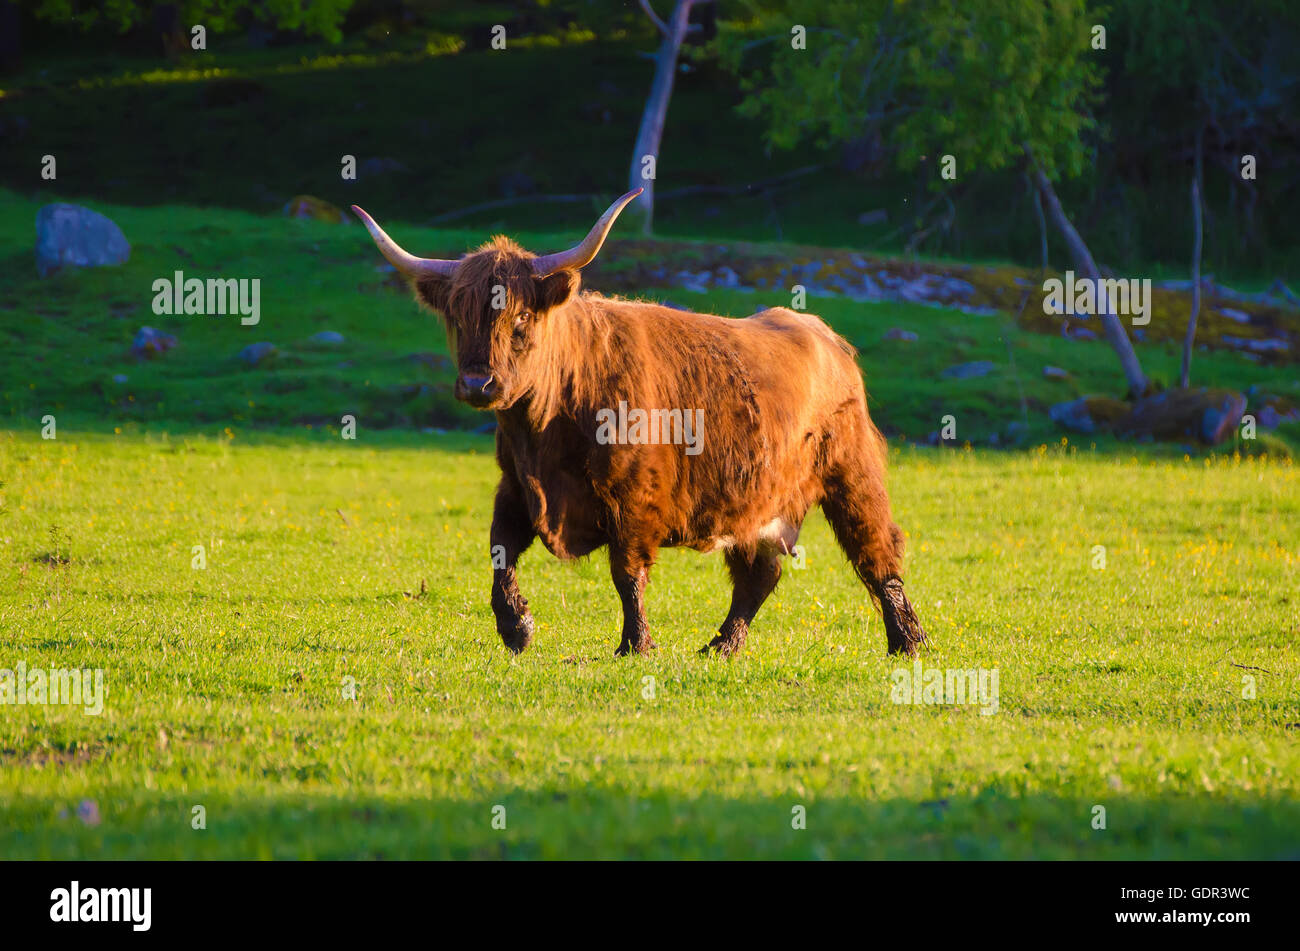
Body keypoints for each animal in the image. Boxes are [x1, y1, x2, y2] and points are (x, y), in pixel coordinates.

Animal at [353, 189, 928, 658]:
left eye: (520, 319)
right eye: (457, 318)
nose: (478, 384)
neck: (546, 435)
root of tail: (824, 335)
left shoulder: (633, 500)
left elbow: (626, 573)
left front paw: (636, 645)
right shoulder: (515, 488)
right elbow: (500, 554)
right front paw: (517, 629)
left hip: (851, 475)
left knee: (877, 552)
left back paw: (908, 641)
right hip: (757, 502)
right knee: (759, 575)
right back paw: (720, 647)